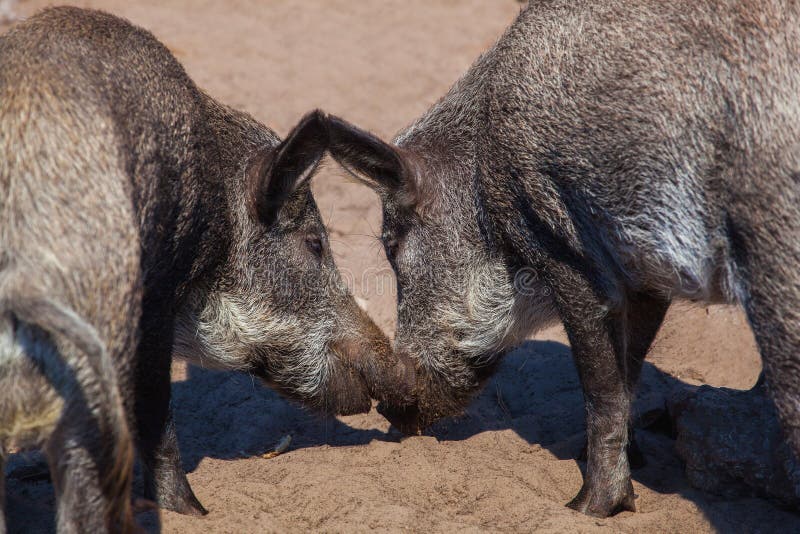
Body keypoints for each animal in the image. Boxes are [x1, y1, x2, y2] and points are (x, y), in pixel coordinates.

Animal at [324, 0, 800, 518]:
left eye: (392, 246)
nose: (389, 411)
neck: (484, 176)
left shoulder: (561, 246)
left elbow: (601, 384)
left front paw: (586, 508)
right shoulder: (646, 278)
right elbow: (629, 370)